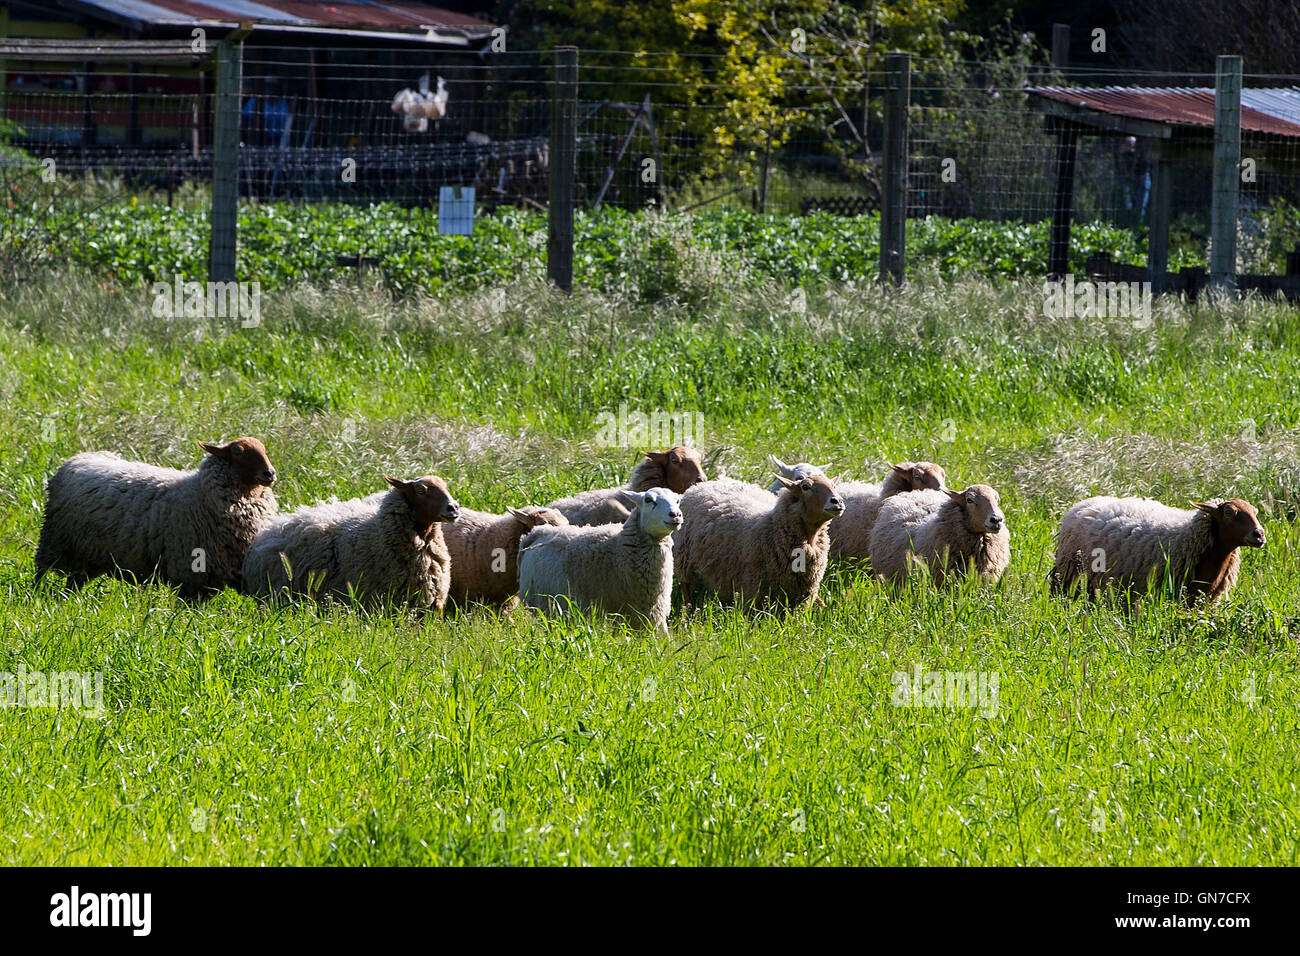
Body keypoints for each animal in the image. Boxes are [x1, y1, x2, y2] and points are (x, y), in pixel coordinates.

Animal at [34, 437, 277, 595]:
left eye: (265, 450)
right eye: (238, 452)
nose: (270, 473)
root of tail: (78, 458)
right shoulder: (191, 573)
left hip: (89, 554)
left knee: (74, 582)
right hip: (55, 541)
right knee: (41, 572)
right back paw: (36, 598)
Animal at [518, 488, 682, 634]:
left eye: (677, 500)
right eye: (648, 500)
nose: (676, 515)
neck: (620, 548)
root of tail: (536, 534)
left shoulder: (655, 618)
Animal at [674, 475, 844, 610]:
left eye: (833, 485)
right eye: (805, 486)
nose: (837, 501)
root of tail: (703, 484)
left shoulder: (800, 596)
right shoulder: (754, 591)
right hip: (684, 559)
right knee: (686, 587)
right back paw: (689, 610)